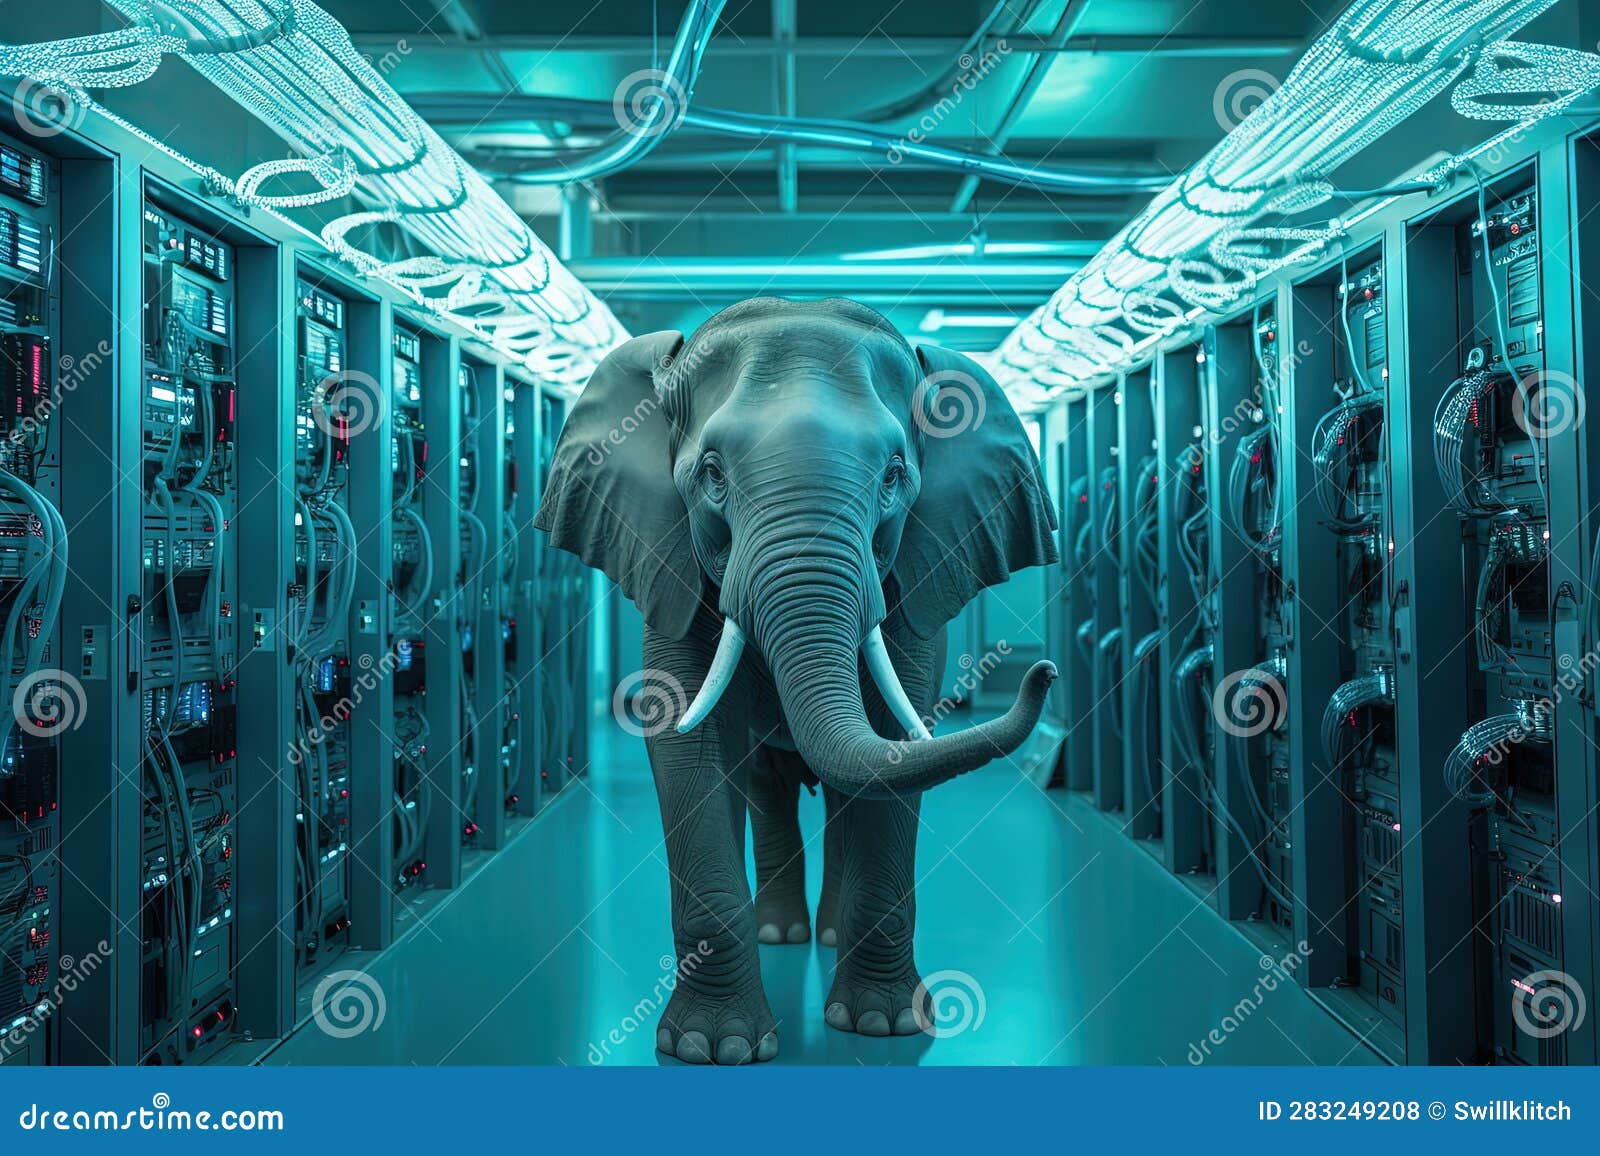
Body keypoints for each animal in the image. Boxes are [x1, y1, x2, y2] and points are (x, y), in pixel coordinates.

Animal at [534, 297, 1058, 1063]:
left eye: (894, 475)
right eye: (711, 475)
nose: (1044, 671)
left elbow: (896, 737)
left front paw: (884, 1025)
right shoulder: (669, 566)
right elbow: (690, 749)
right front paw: (712, 1046)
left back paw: (830, 934)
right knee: (766, 784)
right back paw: (779, 935)